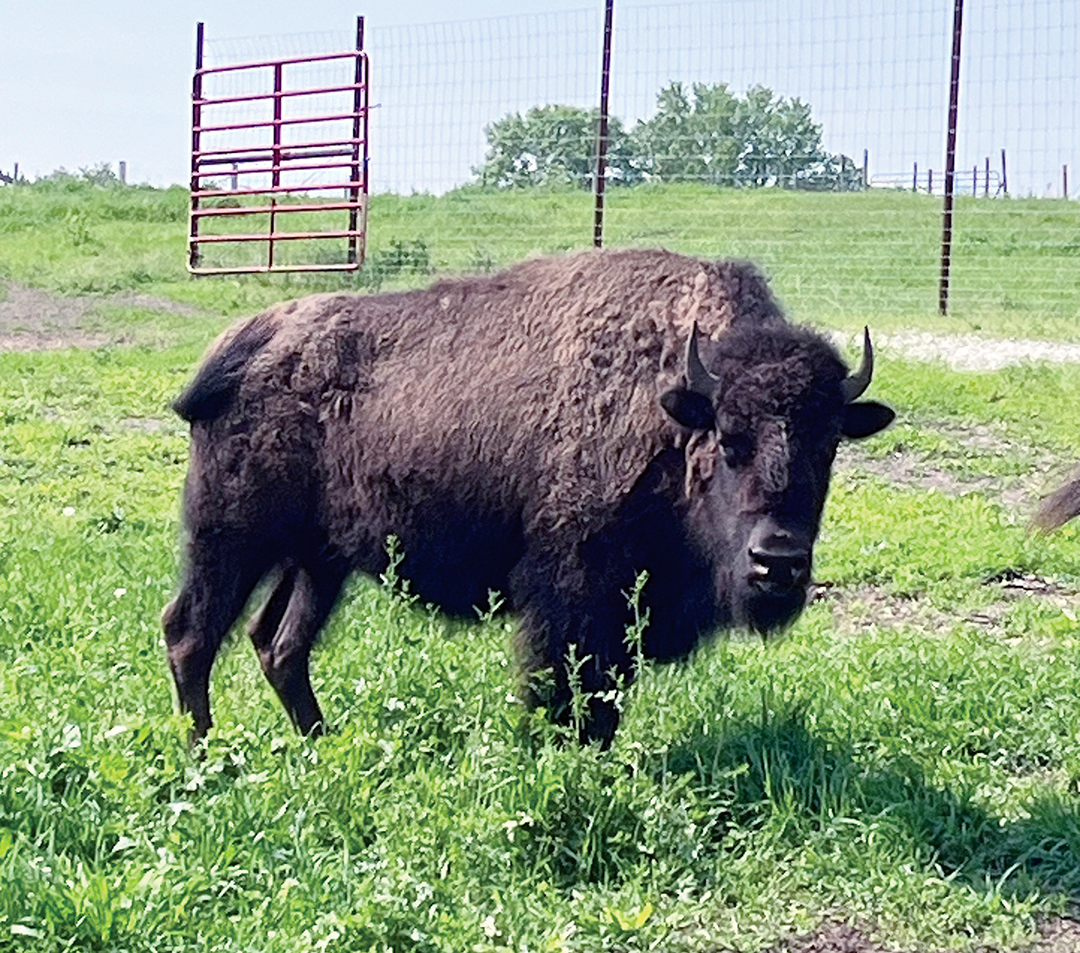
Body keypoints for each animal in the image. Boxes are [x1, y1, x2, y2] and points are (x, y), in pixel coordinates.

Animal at [163, 248, 894, 746]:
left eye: (828, 445)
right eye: (729, 438)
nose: (778, 563)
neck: (670, 411)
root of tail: (244, 345)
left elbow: (604, 699)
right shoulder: (572, 593)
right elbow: (564, 689)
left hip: (318, 559)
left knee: (278, 644)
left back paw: (322, 743)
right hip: (232, 538)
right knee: (191, 633)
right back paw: (206, 754)